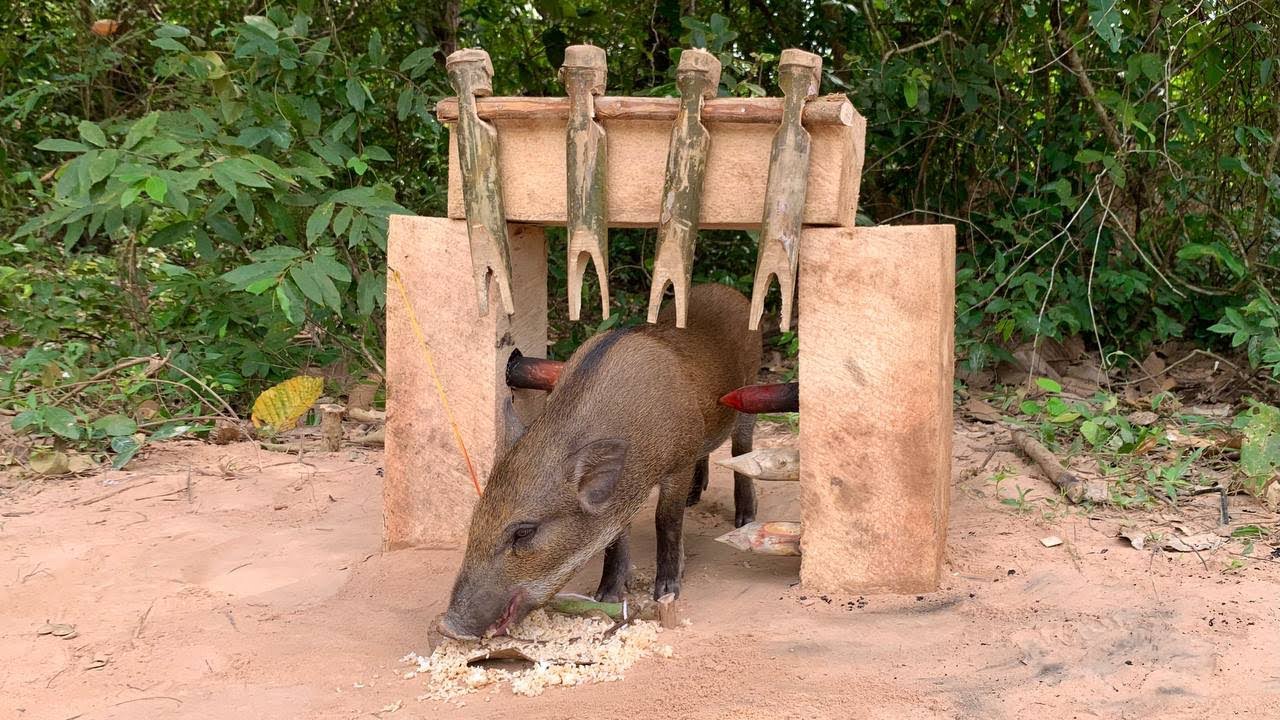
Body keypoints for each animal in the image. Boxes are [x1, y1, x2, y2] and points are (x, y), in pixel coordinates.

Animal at [438, 283, 762, 639]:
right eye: (475, 517)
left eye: (523, 533)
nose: (448, 627)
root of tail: (729, 291)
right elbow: (615, 538)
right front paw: (606, 596)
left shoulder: (678, 463)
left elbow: (666, 521)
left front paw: (666, 592)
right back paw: (696, 498)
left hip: (751, 390)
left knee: (741, 451)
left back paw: (744, 519)